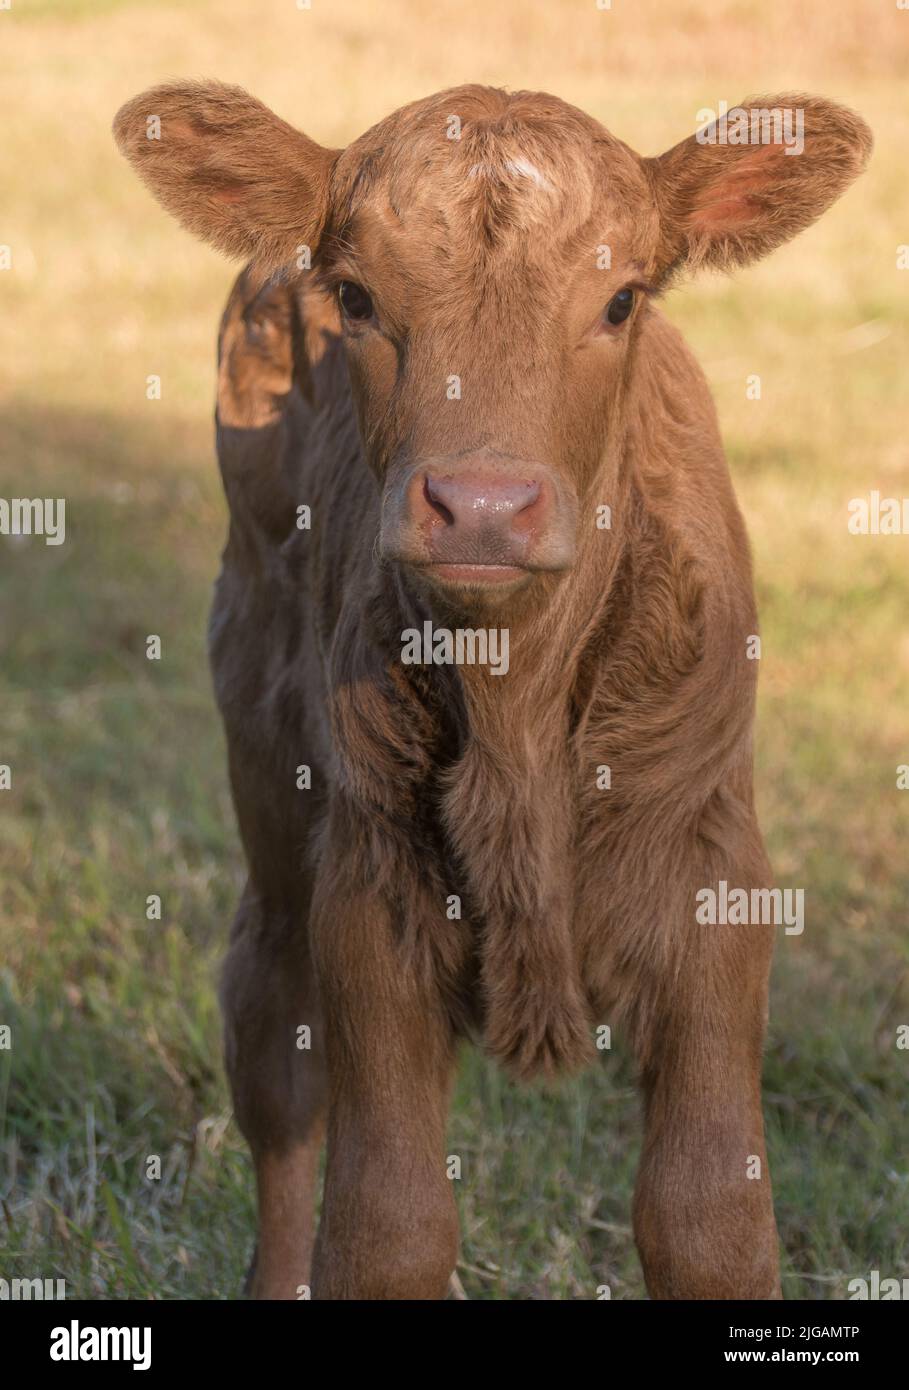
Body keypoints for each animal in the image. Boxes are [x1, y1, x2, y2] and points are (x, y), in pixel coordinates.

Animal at [113, 82, 871, 1300]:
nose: (479, 506)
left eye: (621, 299)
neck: (515, 708)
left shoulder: (715, 883)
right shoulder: (367, 894)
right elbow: (387, 1224)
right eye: (357, 296)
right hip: (265, 766)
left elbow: (708, 1216)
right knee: (272, 1043)